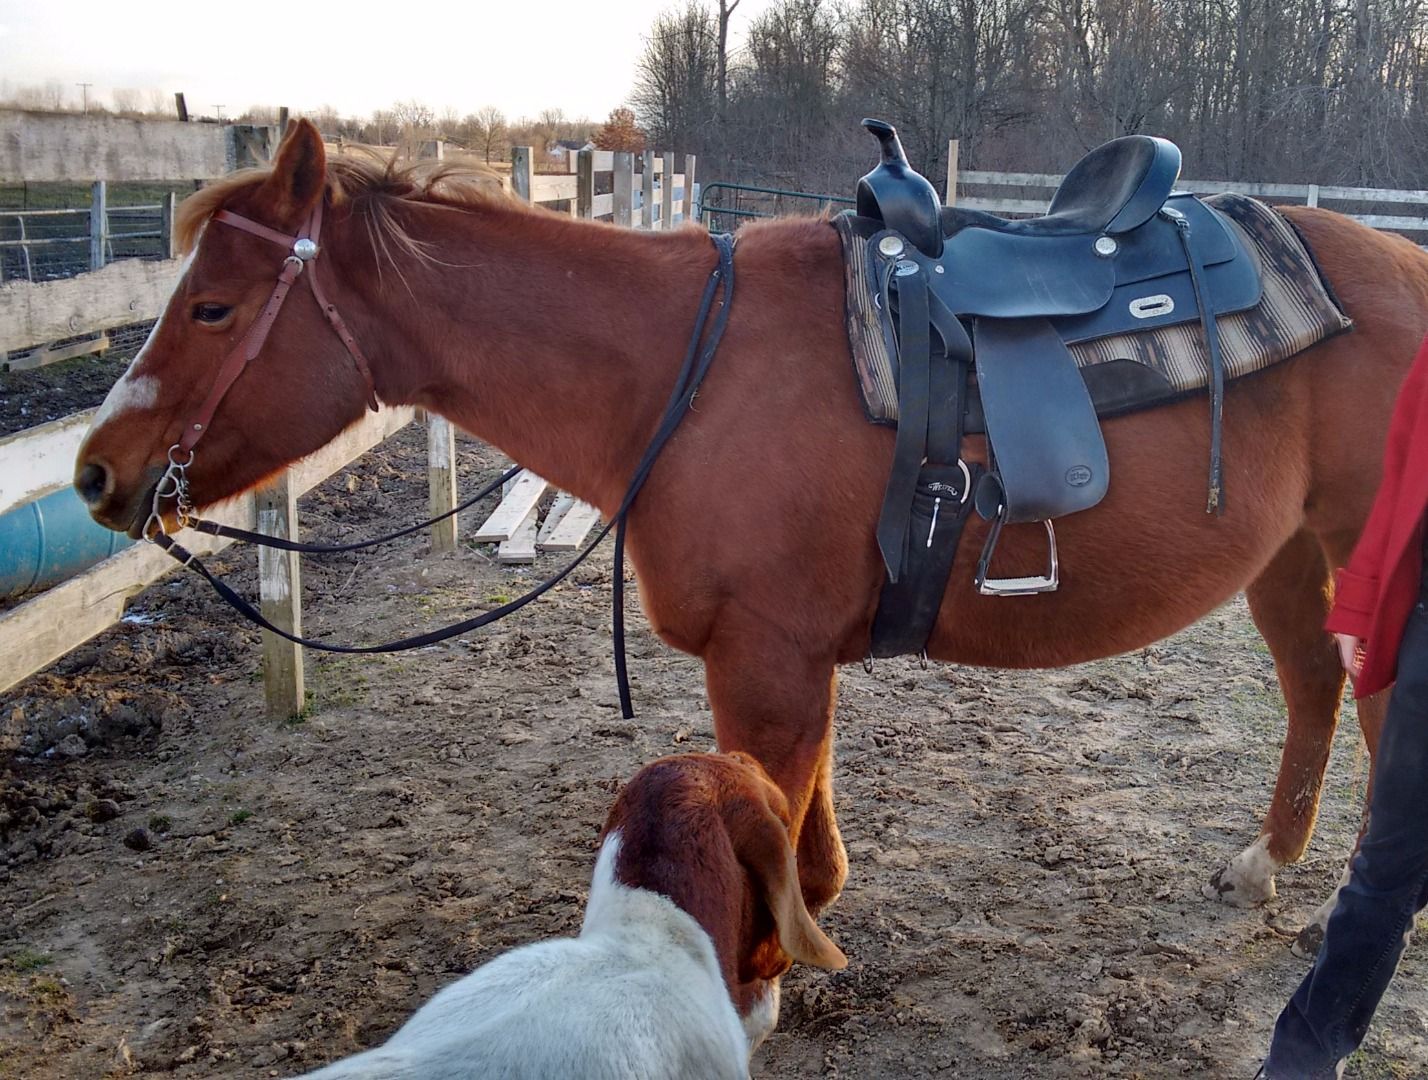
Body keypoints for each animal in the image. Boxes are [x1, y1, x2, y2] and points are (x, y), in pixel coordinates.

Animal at [74, 119, 1425, 955]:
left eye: (214, 307)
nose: (97, 472)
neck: (684, 369)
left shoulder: (765, 660)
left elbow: (774, 819)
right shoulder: (789, 661)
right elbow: (805, 821)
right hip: (1289, 560)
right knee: (1314, 690)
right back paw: (1267, 862)